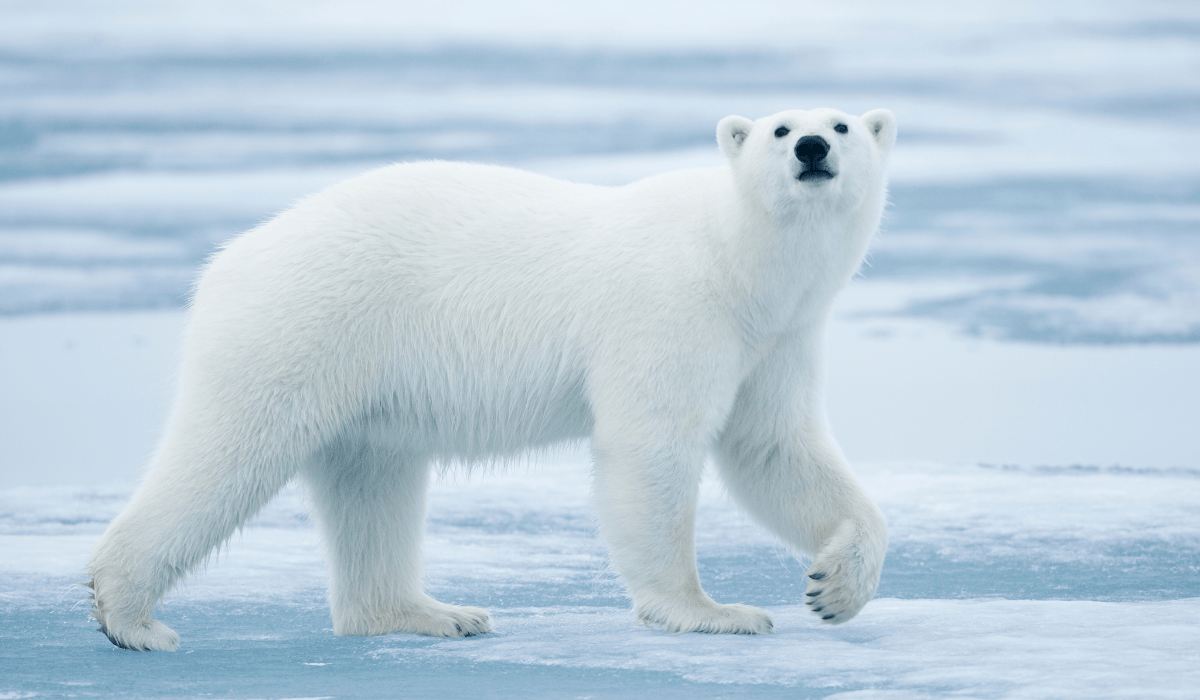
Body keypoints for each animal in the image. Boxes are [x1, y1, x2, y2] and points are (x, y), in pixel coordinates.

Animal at [87, 107, 895, 652]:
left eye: (844, 124)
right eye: (780, 128)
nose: (815, 147)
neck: (737, 261)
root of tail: (229, 259)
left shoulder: (777, 338)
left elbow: (773, 449)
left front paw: (834, 587)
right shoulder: (671, 309)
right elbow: (653, 450)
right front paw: (712, 613)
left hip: (360, 383)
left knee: (372, 487)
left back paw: (431, 613)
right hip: (299, 328)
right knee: (228, 455)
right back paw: (129, 614)